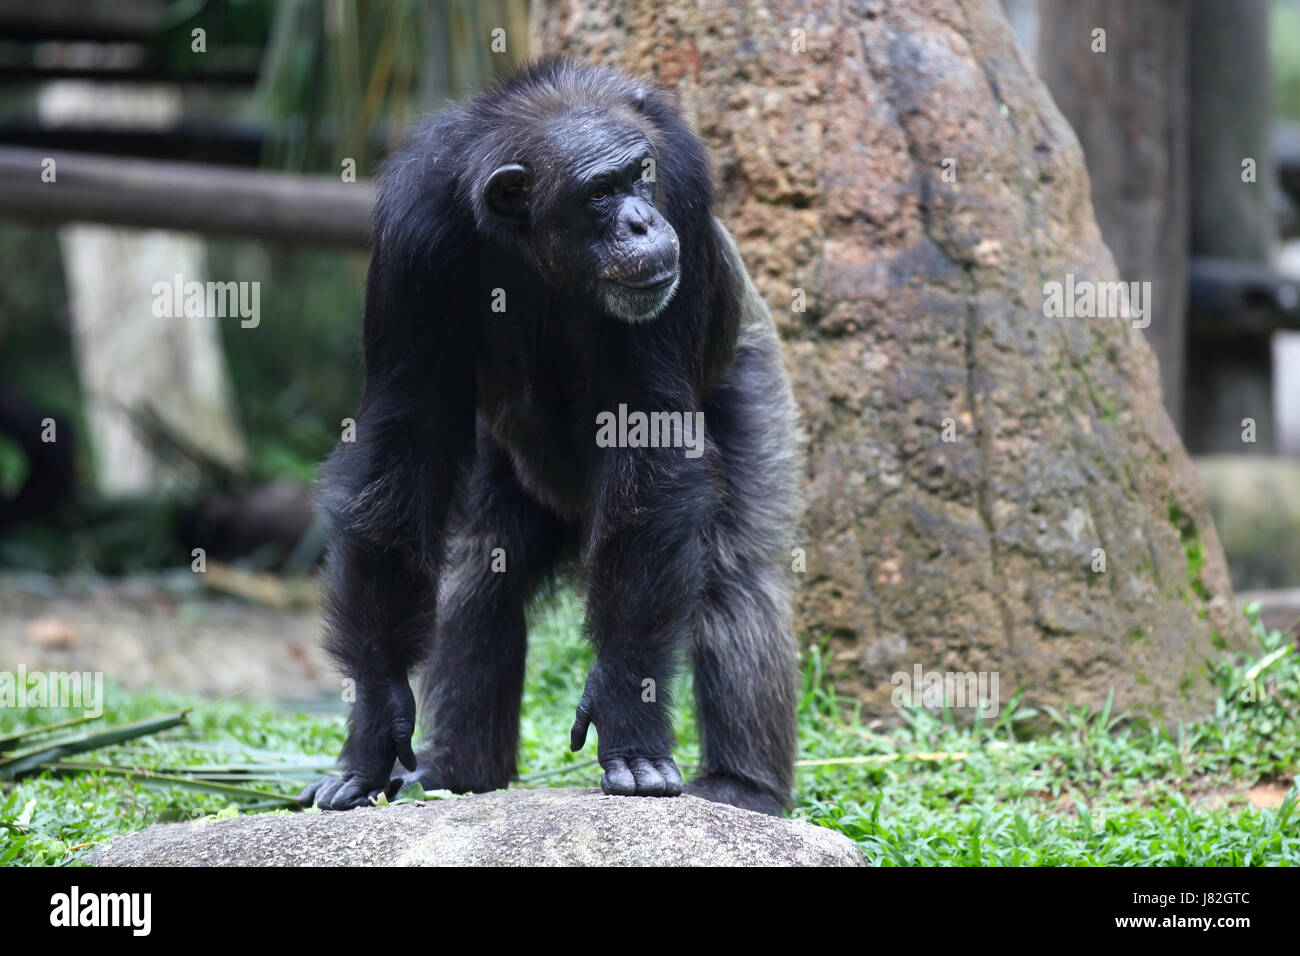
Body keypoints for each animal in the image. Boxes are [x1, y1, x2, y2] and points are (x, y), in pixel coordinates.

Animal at [299, 58, 800, 816]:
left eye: (641, 173)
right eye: (600, 192)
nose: (641, 220)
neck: (534, 246)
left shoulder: (684, 190)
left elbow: (649, 441)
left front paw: (627, 716)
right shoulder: (409, 240)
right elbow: (405, 438)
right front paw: (374, 719)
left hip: (751, 373)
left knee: (733, 572)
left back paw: (742, 786)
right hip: (508, 466)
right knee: (481, 570)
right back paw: (456, 768)